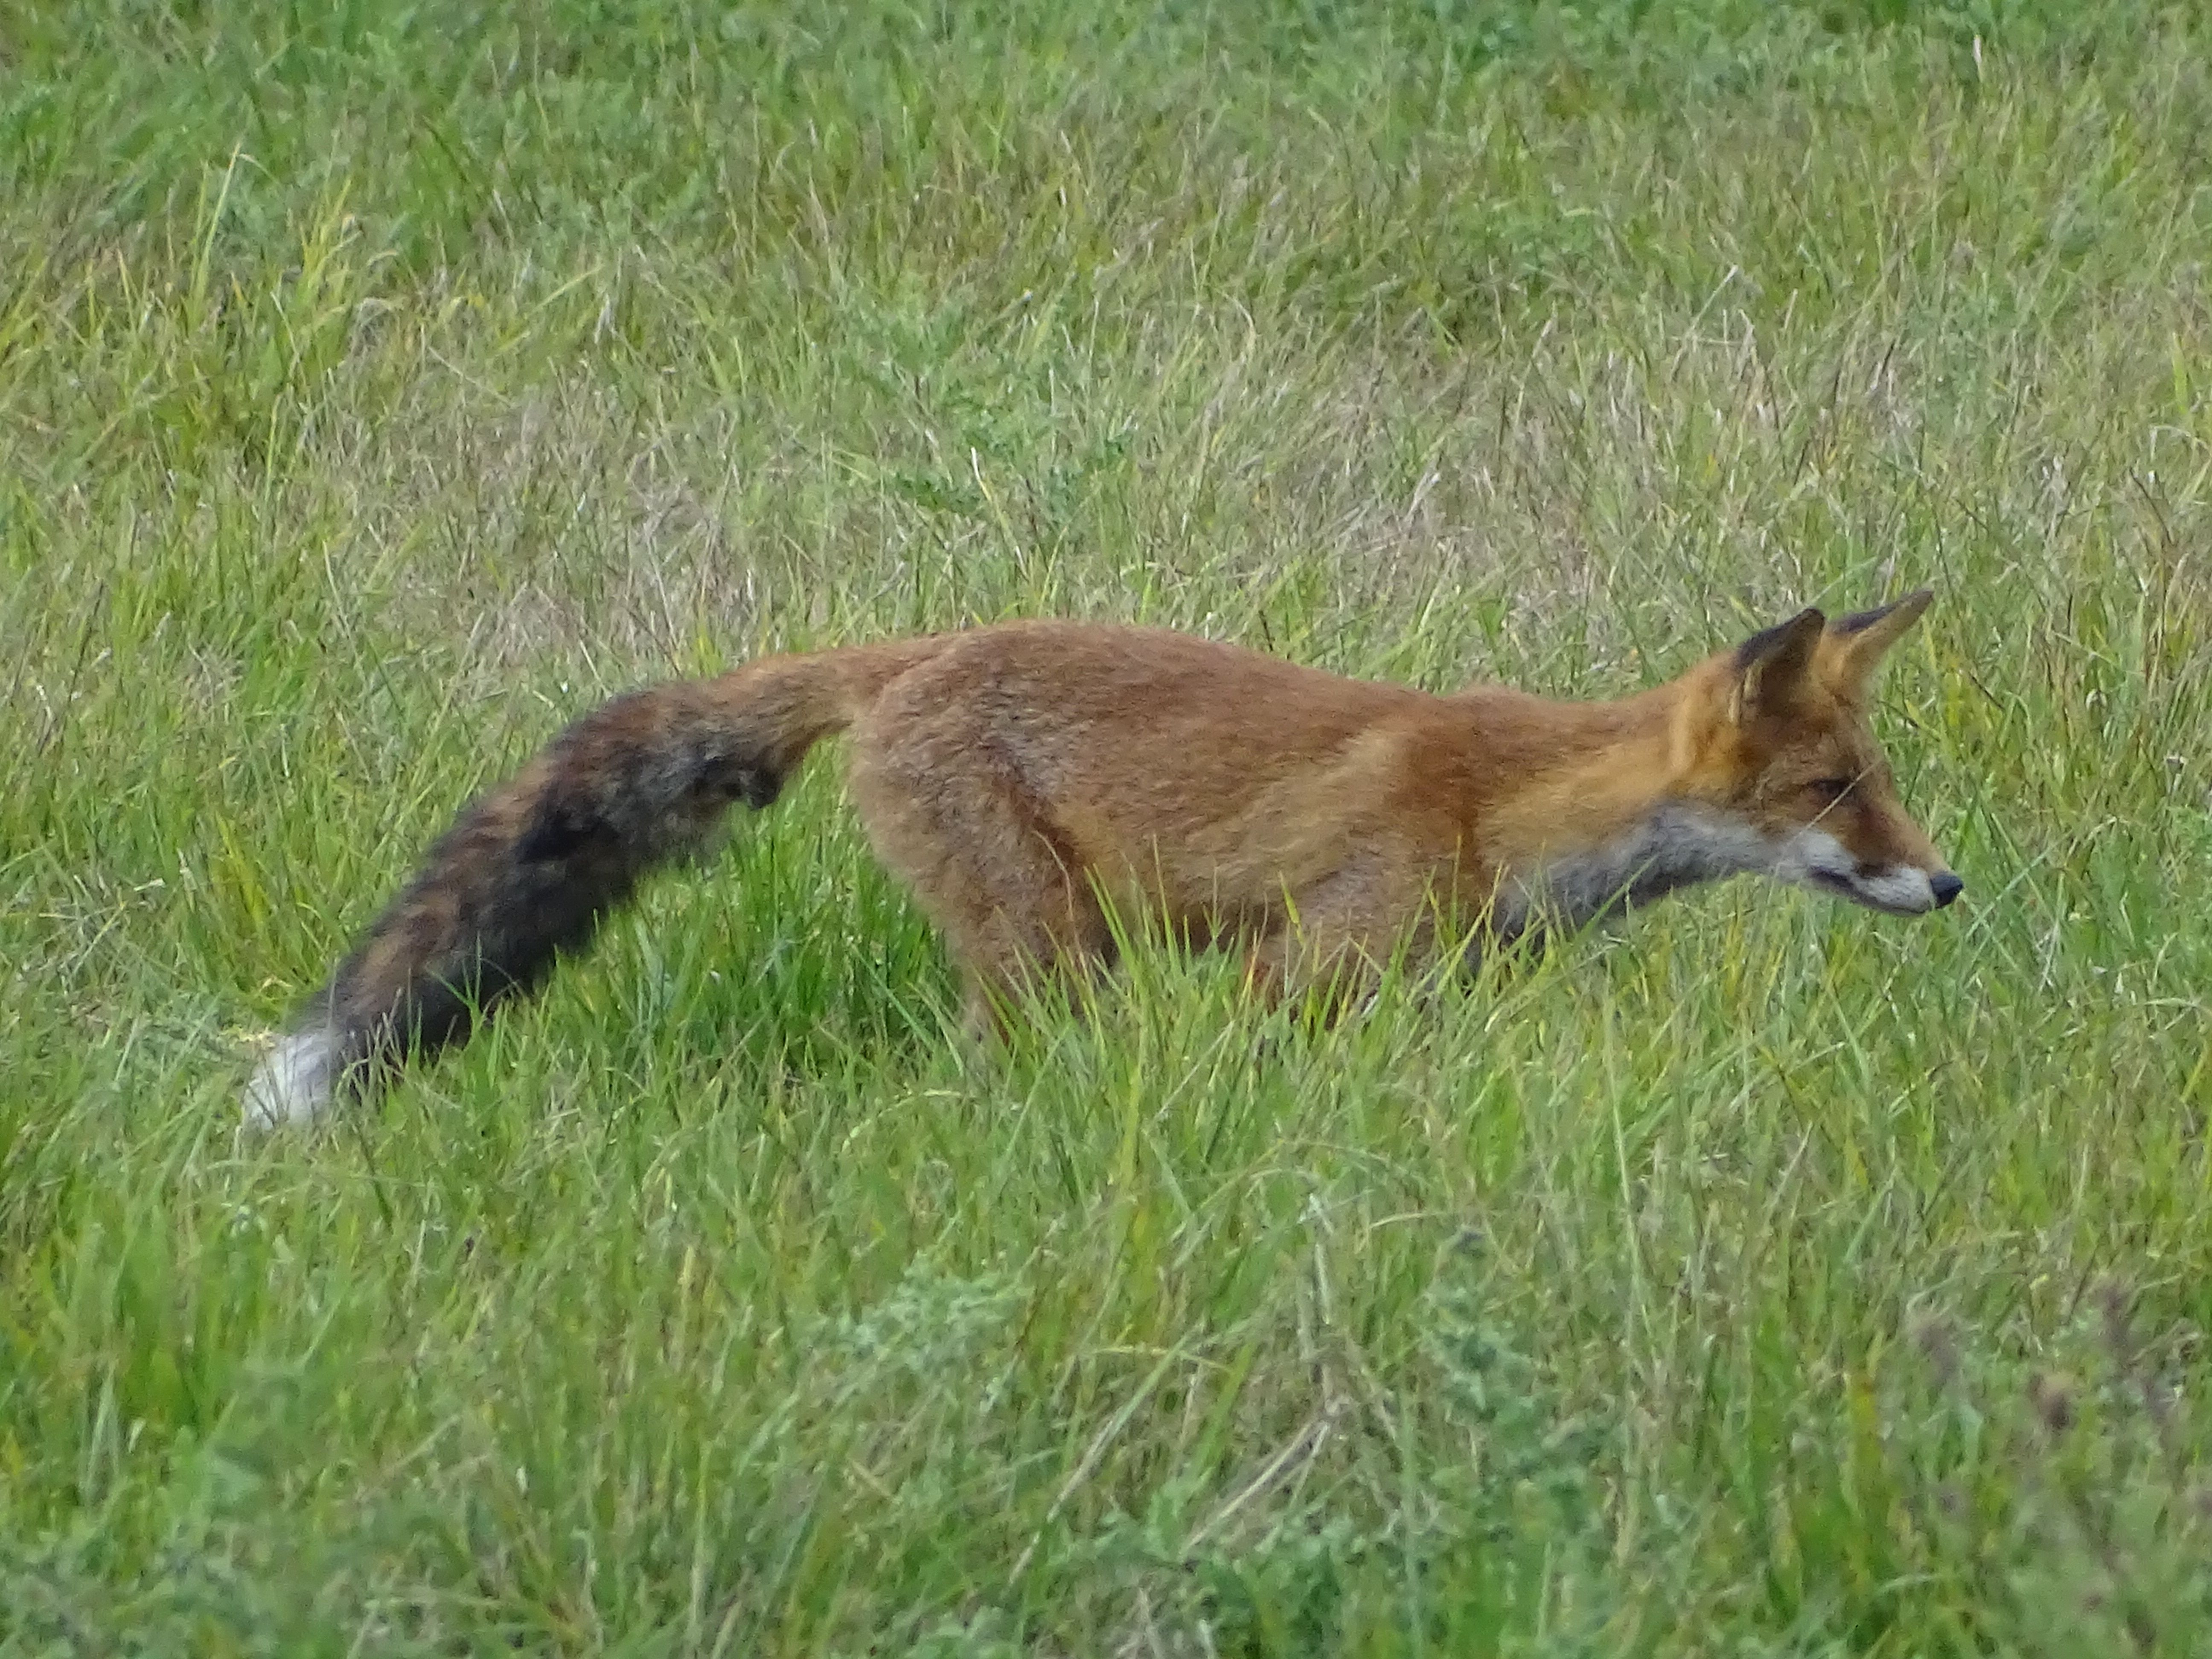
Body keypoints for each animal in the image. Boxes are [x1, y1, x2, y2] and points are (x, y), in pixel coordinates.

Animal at [243, 591, 1961, 1125]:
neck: (1508, 805)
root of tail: (910, 651)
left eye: (1886, 787)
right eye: (1834, 790)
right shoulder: (1306, 961)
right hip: (1049, 954)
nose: (1948, 886)